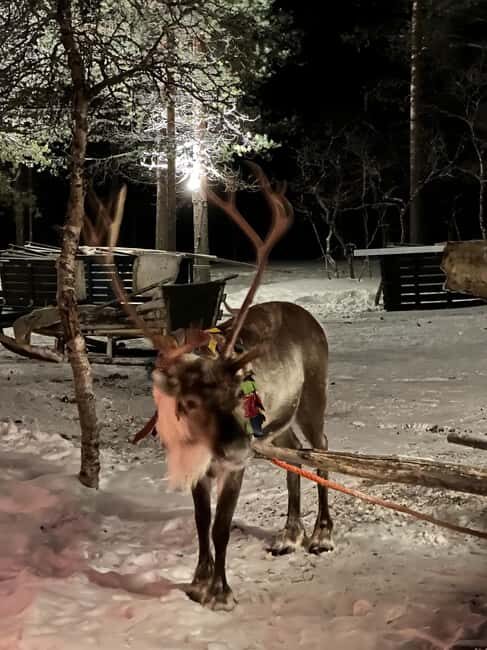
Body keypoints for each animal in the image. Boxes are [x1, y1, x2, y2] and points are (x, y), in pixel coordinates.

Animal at [113, 163, 333, 611]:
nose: (235, 446)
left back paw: (321, 534)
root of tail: (310, 319)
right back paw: (289, 535)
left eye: (235, 395)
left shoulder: (235, 467)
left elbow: (221, 526)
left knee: (320, 452)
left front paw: (221, 592)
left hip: (312, 398)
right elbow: (201, 521)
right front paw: (199, 582)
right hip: (278, 421)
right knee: (294, 458)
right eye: (189, 401)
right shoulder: (198, 464)